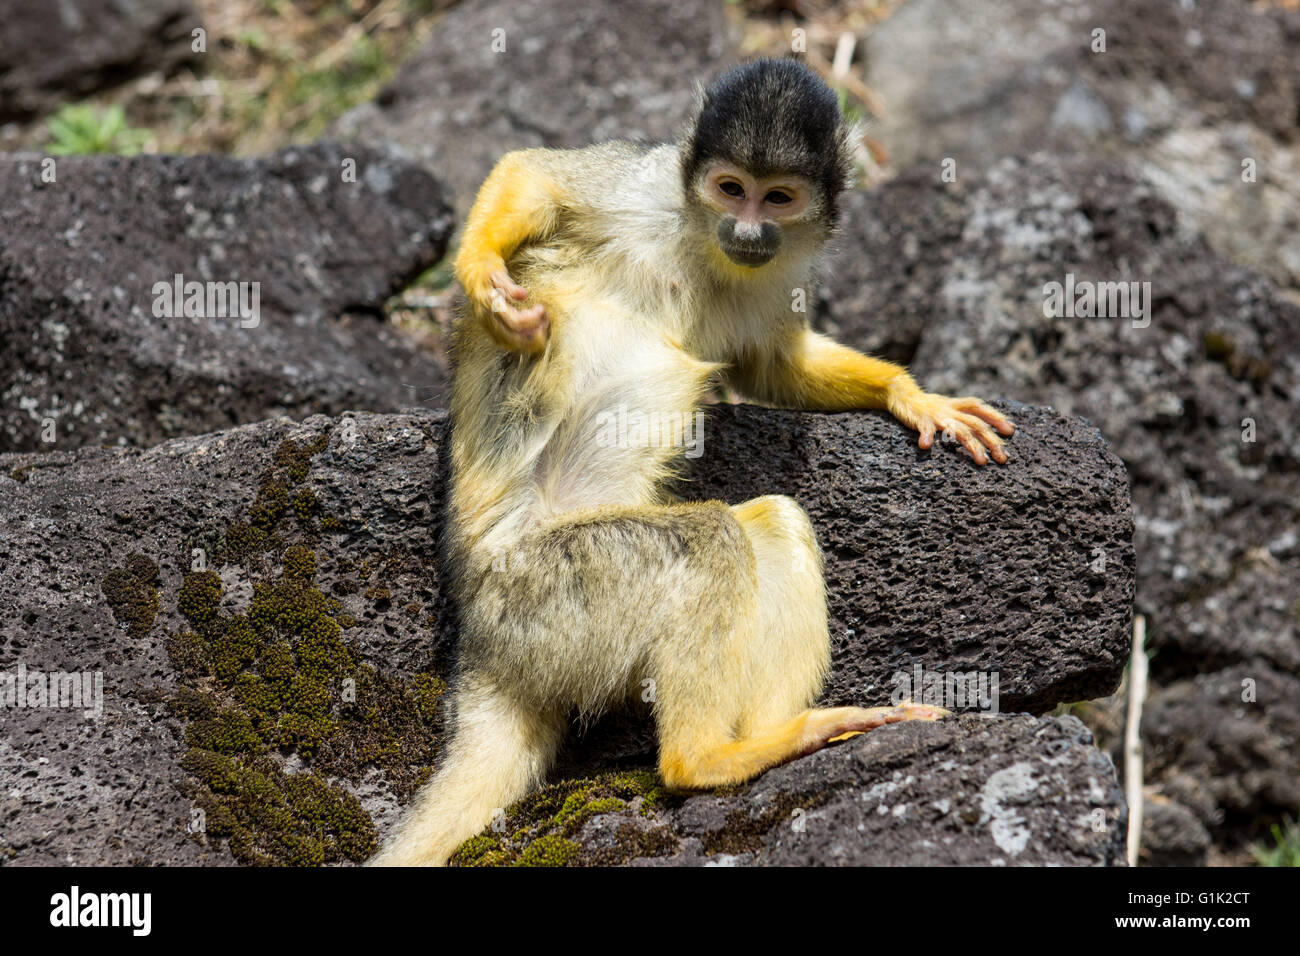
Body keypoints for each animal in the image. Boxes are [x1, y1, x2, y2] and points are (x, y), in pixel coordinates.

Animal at [370, 57, 1014, 867]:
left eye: (777, 198)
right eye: (729, 188)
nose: (748, 228)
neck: (705, 243)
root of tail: (480, 641)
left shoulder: (777, 269)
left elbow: (775, 364)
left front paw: (913, 394)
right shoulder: (649, 187)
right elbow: (536, 172)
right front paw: (482, 273)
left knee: (772, 520)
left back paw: (774, 735)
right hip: (539, 592)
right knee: (706, 541)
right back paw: (703, 762)